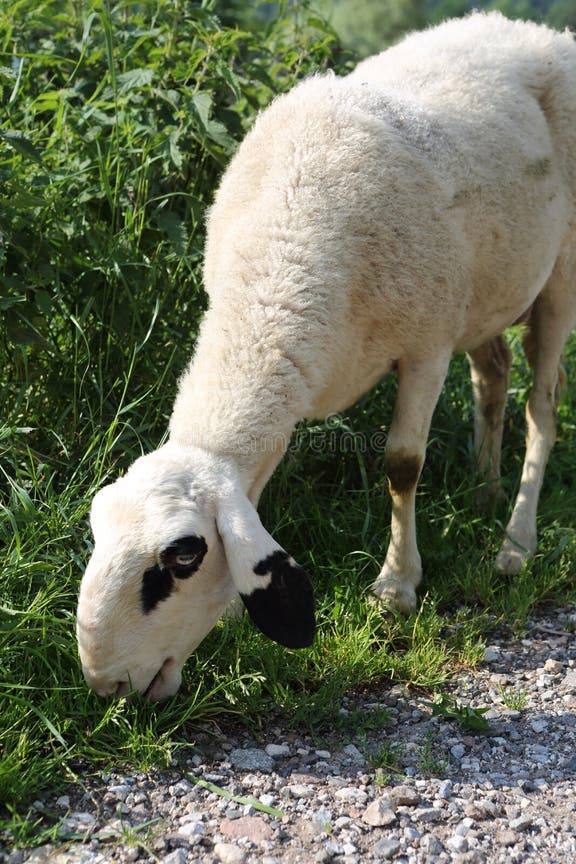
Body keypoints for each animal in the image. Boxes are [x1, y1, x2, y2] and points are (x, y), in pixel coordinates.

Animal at [77, 12, 576, 700]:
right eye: (96, 531)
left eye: (182, 558)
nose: (109, 688)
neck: (282, 264)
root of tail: (531, 27)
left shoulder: (426, 345)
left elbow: (402, 465)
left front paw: (396, 588)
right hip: (489, 293)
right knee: (493, 376)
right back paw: (484, 491)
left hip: (560, 274)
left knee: (543, 405)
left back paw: (515, 545)